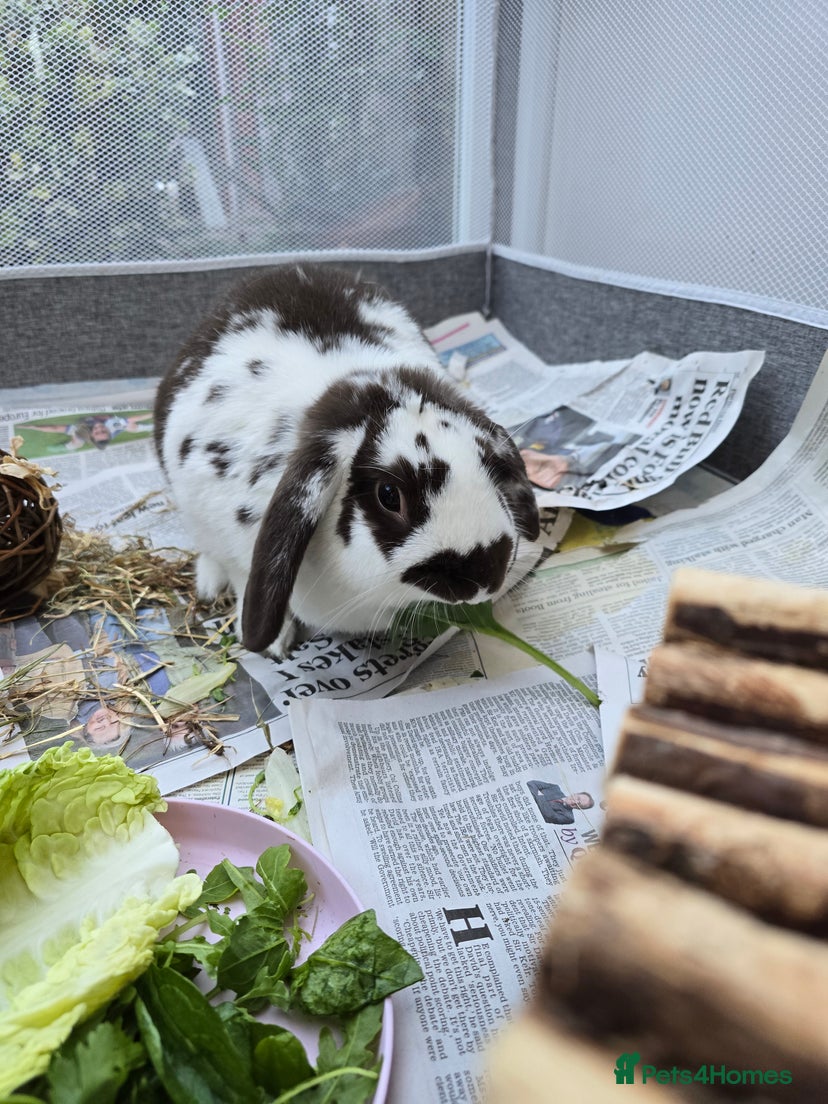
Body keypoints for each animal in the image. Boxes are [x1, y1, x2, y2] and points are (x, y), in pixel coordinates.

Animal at [154, 264, 540, 658]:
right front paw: (274, 644)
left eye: (488, 467)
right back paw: (209, 584)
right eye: (389, 495)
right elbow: (241, 574)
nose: (483, 578)